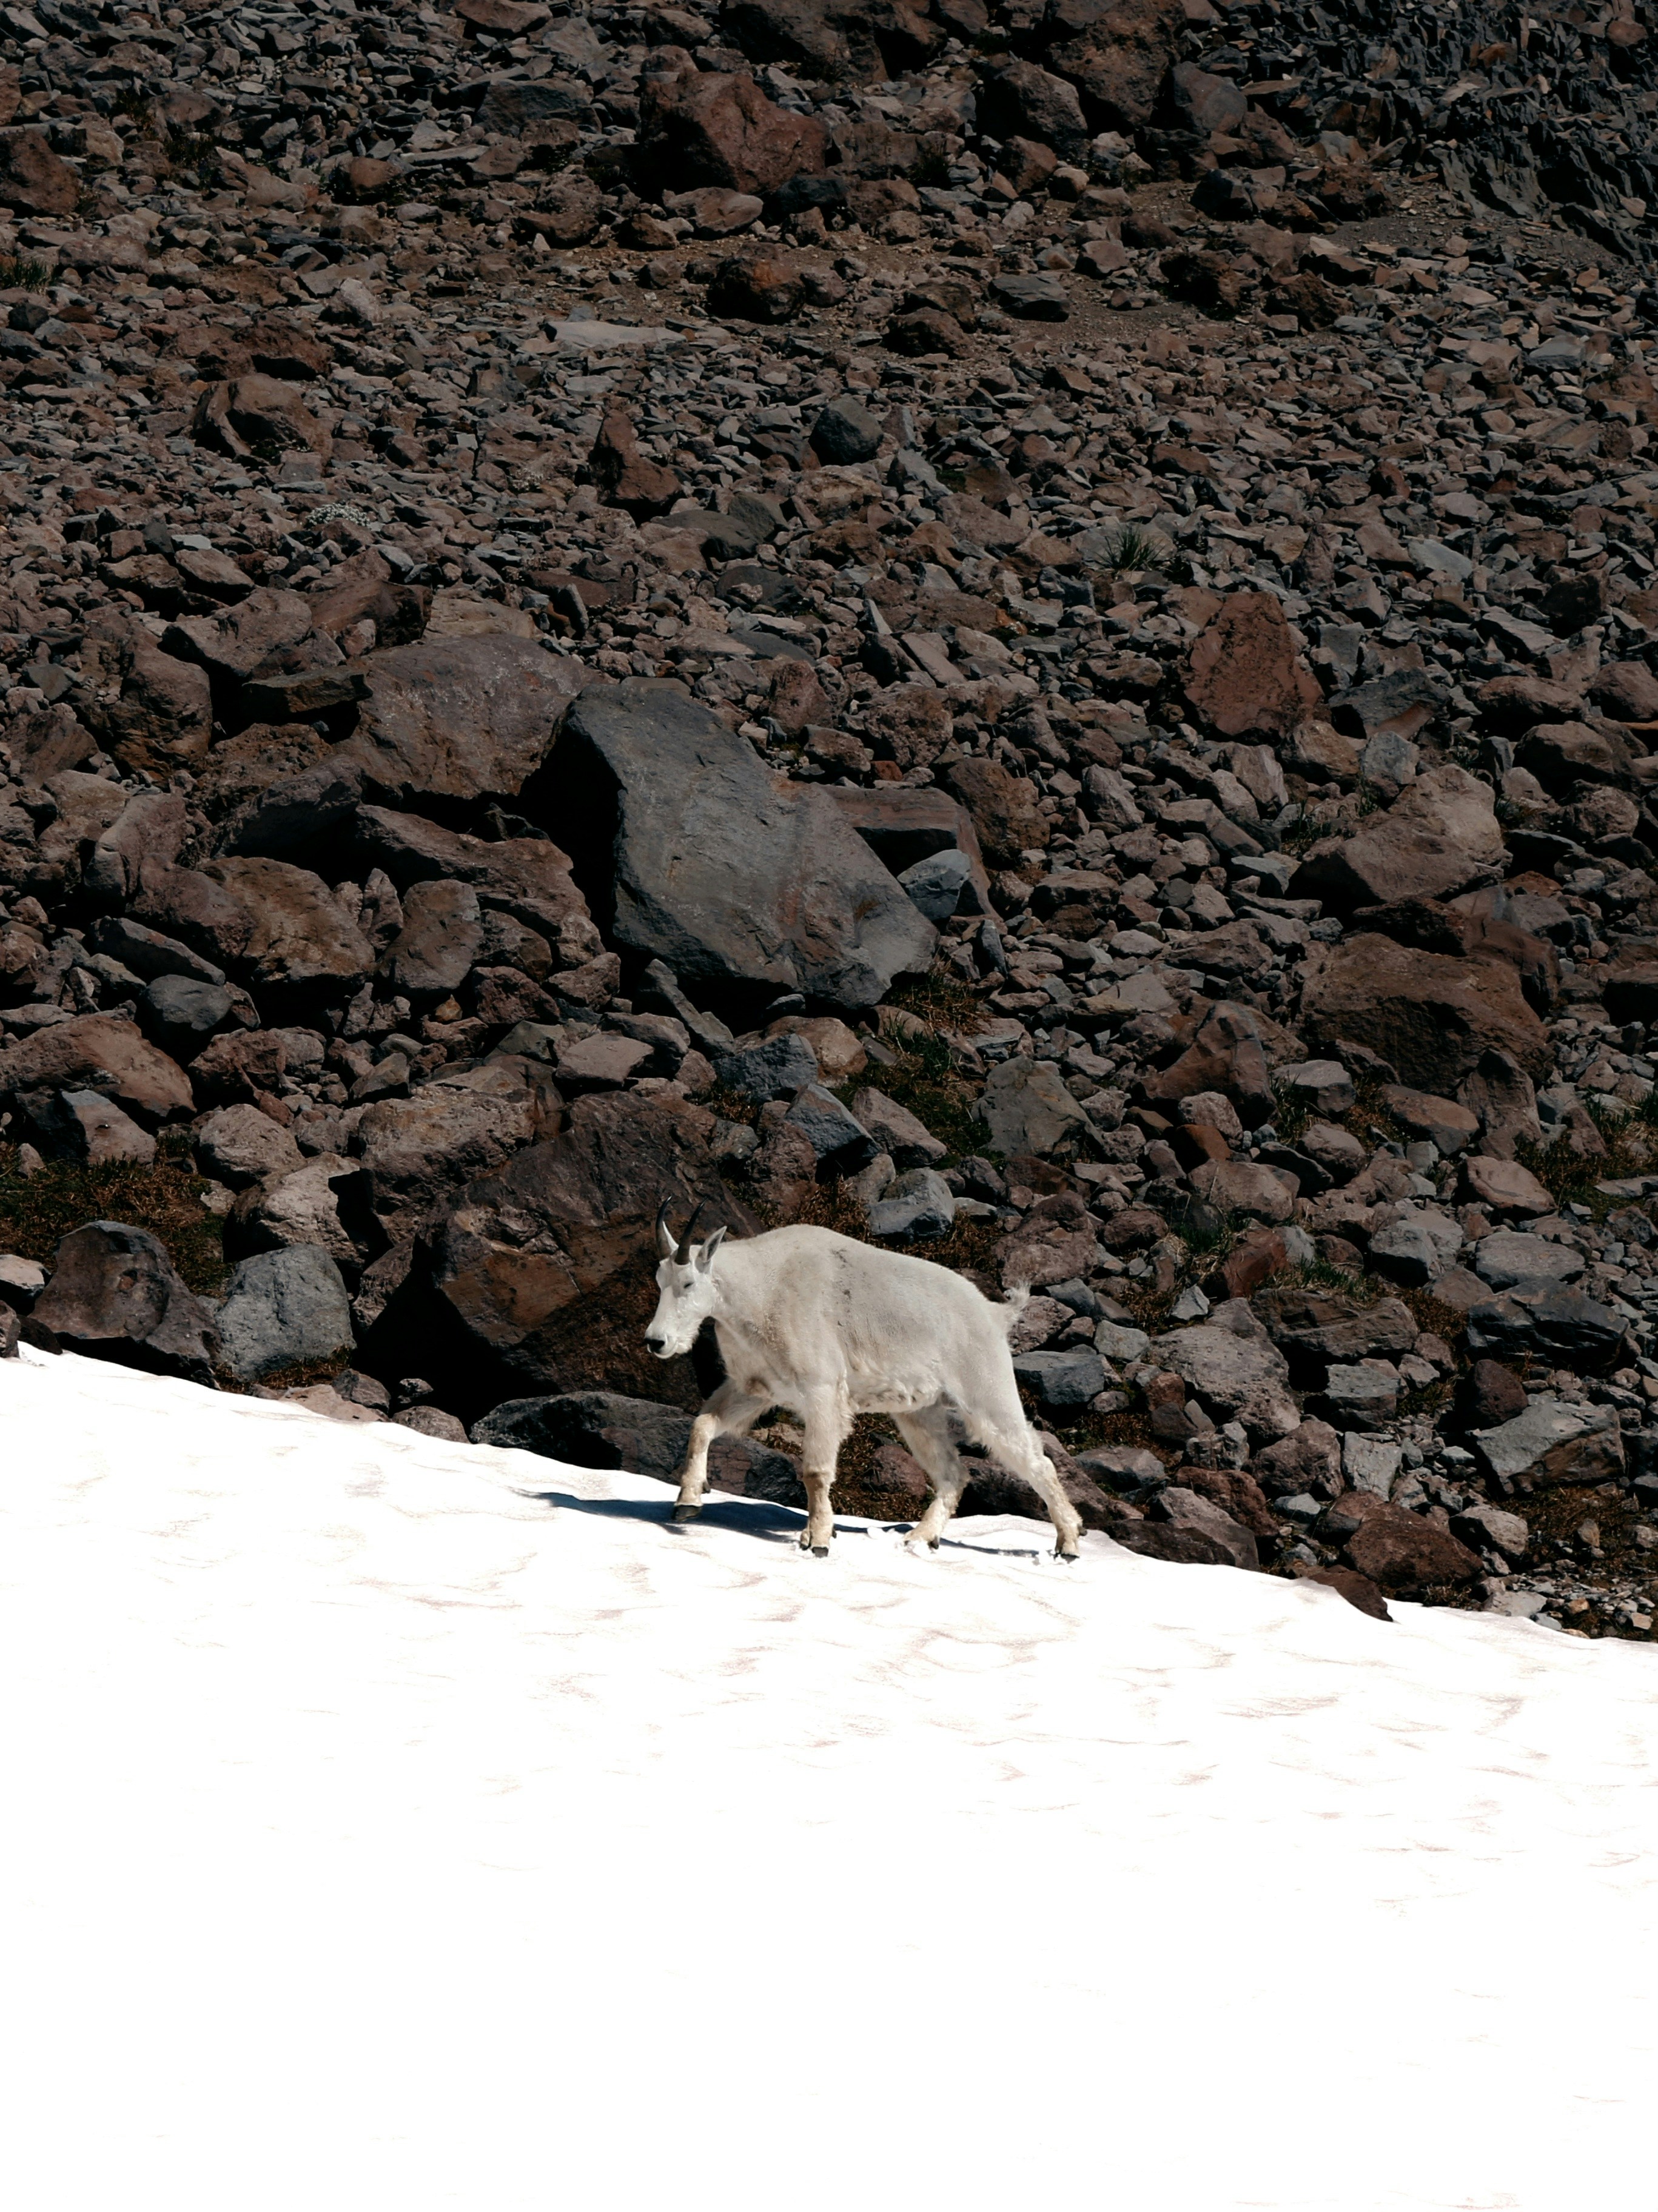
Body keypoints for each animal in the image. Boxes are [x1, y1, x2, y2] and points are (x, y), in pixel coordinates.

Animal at [644, 1203, 1084, 1560]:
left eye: (688, 1284)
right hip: (920, 1412)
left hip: (986, 1392)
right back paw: (919, 1539)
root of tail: (995, 1314)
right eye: (659, 1280)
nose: (656, 1341)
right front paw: (688, 1501)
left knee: (1036, 1460)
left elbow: (815, 1470)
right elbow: (703, 1425)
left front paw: (818, 1540)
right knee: (952, 1473)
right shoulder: (756, 1388)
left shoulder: (821, 1390)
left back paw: (1069, 1543)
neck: (757, 1290)